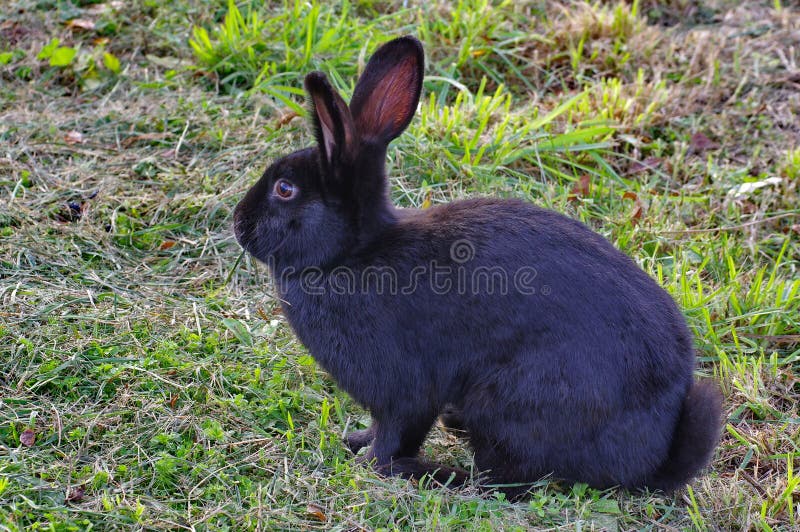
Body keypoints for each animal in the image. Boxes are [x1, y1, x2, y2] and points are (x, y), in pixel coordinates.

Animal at [233, 35, 722, 497]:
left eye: (284, 189)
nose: (239, 223)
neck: (353, 254)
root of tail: (650, 458)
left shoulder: (403, 390)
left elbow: (396, 432)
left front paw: (370, 465)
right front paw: (354, 441)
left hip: (509, 400)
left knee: (506, 481)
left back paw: (433, 475)